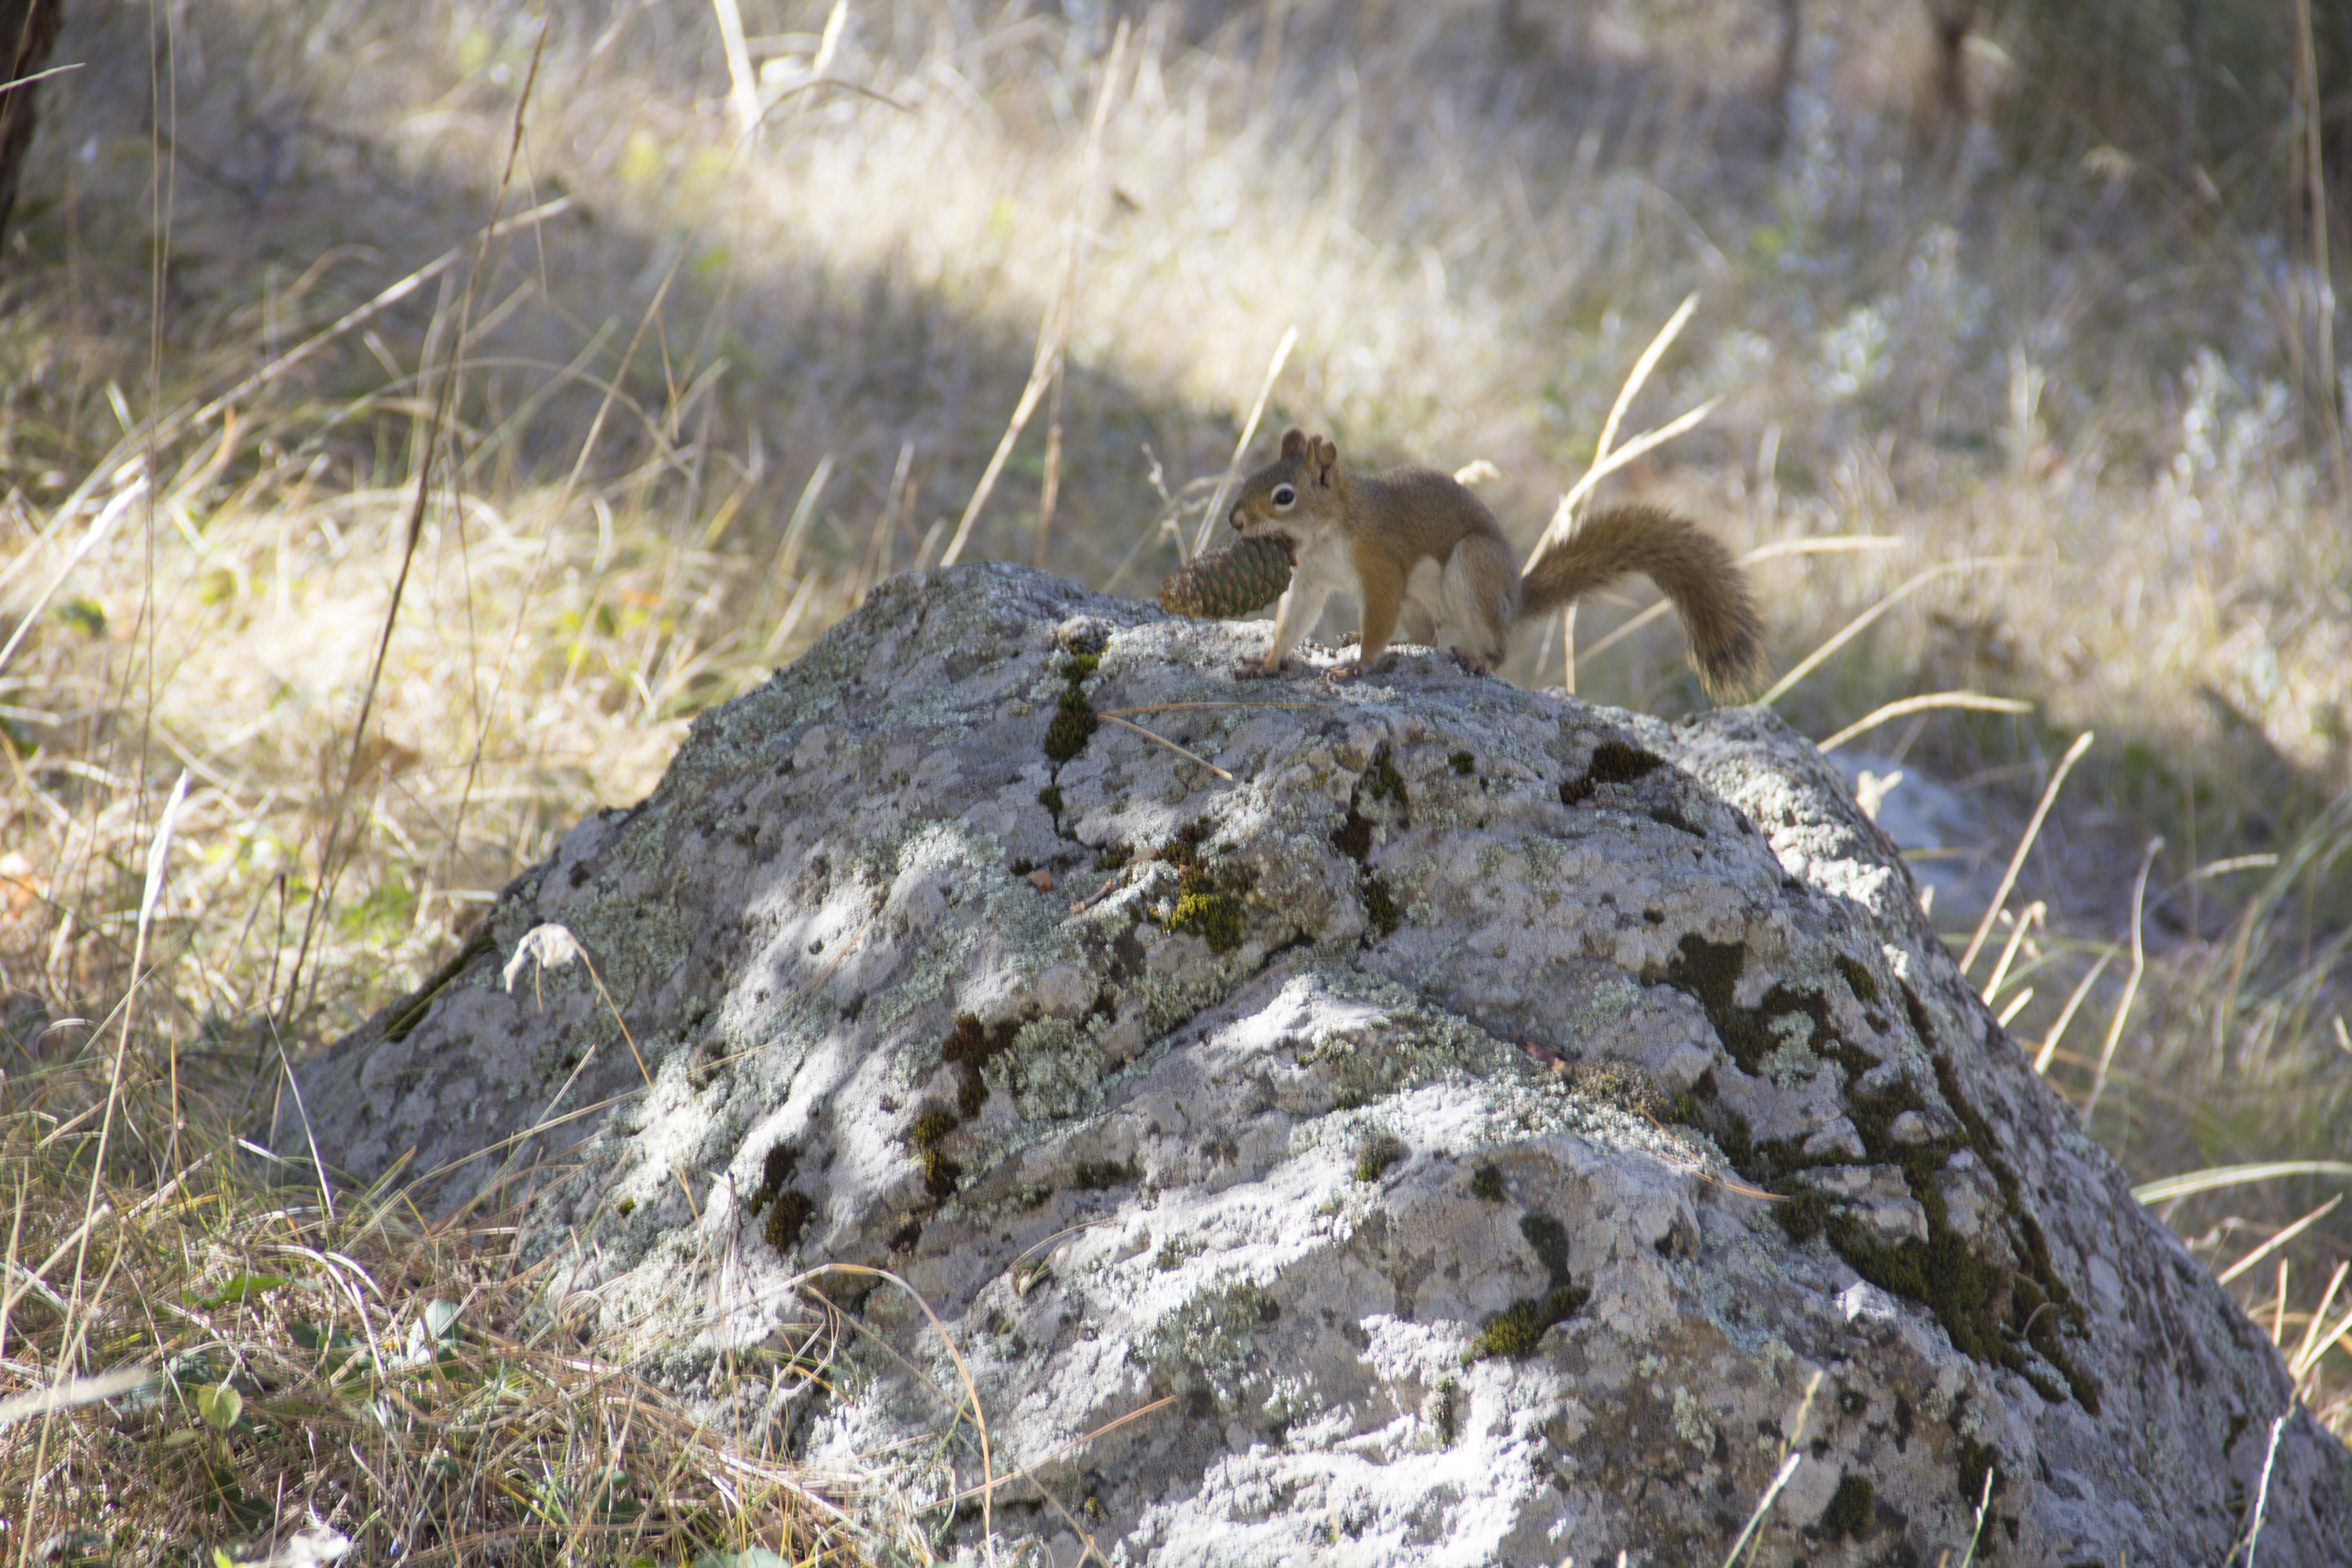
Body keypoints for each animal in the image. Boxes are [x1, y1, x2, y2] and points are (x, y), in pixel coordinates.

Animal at [1225, 428, 1766, 700]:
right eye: (1252, 476)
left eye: (1284, 496)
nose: (1234, 520)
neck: (1330, 528)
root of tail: (1513, 596)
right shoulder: (1310, 578)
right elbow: (1293, 620)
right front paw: (1266, 664)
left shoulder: (1380, 565)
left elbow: (1378, 612)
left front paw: (1355, 669)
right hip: (1424, 601)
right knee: (1426, 637)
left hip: (1472, 569)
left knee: (1494, 646)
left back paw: (1478, 658)